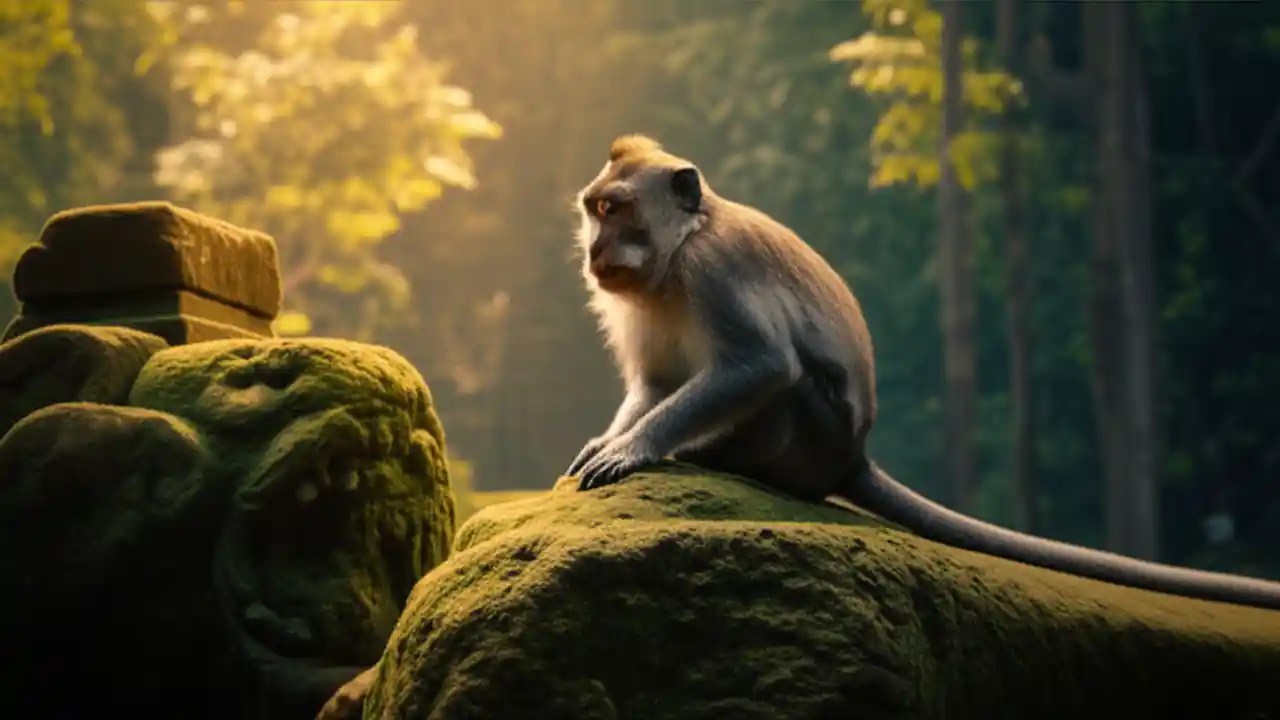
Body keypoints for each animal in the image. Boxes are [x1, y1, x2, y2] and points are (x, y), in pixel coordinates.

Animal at [565, 133, 1280, 611]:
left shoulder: (713, 269)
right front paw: (607, 440)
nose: (595, 251)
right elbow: (656, 383)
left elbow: (760, 363)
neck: (683, 246)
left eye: (616, 211)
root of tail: (852, 456)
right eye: (594, 210)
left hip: (809, 433)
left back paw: (712, 453)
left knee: (789, 384)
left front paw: (635, 447)